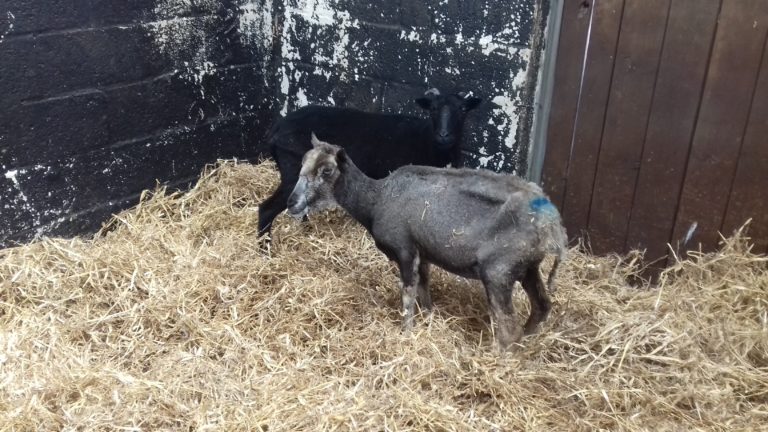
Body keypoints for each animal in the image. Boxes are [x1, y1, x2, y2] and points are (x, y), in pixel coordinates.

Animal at [258, 88, 482, 242]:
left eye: (463, 109)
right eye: (433, 109)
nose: (444, 135)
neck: (429, 141)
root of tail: (276, 128)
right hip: (294, 170)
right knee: (267, 209)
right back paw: (266, 252)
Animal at [286, 134, 568, 351]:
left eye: (327, 170)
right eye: (301, 163)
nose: (291, 203)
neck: (375, 200)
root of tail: (553, 226)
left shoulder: (405, 249)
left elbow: (408, 293)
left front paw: (406, 332)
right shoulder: (423, 254)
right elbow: (424, 293)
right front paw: (429, 322)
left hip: (499, 271)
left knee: (509, 329)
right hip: (527, 267)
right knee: (542, 307)